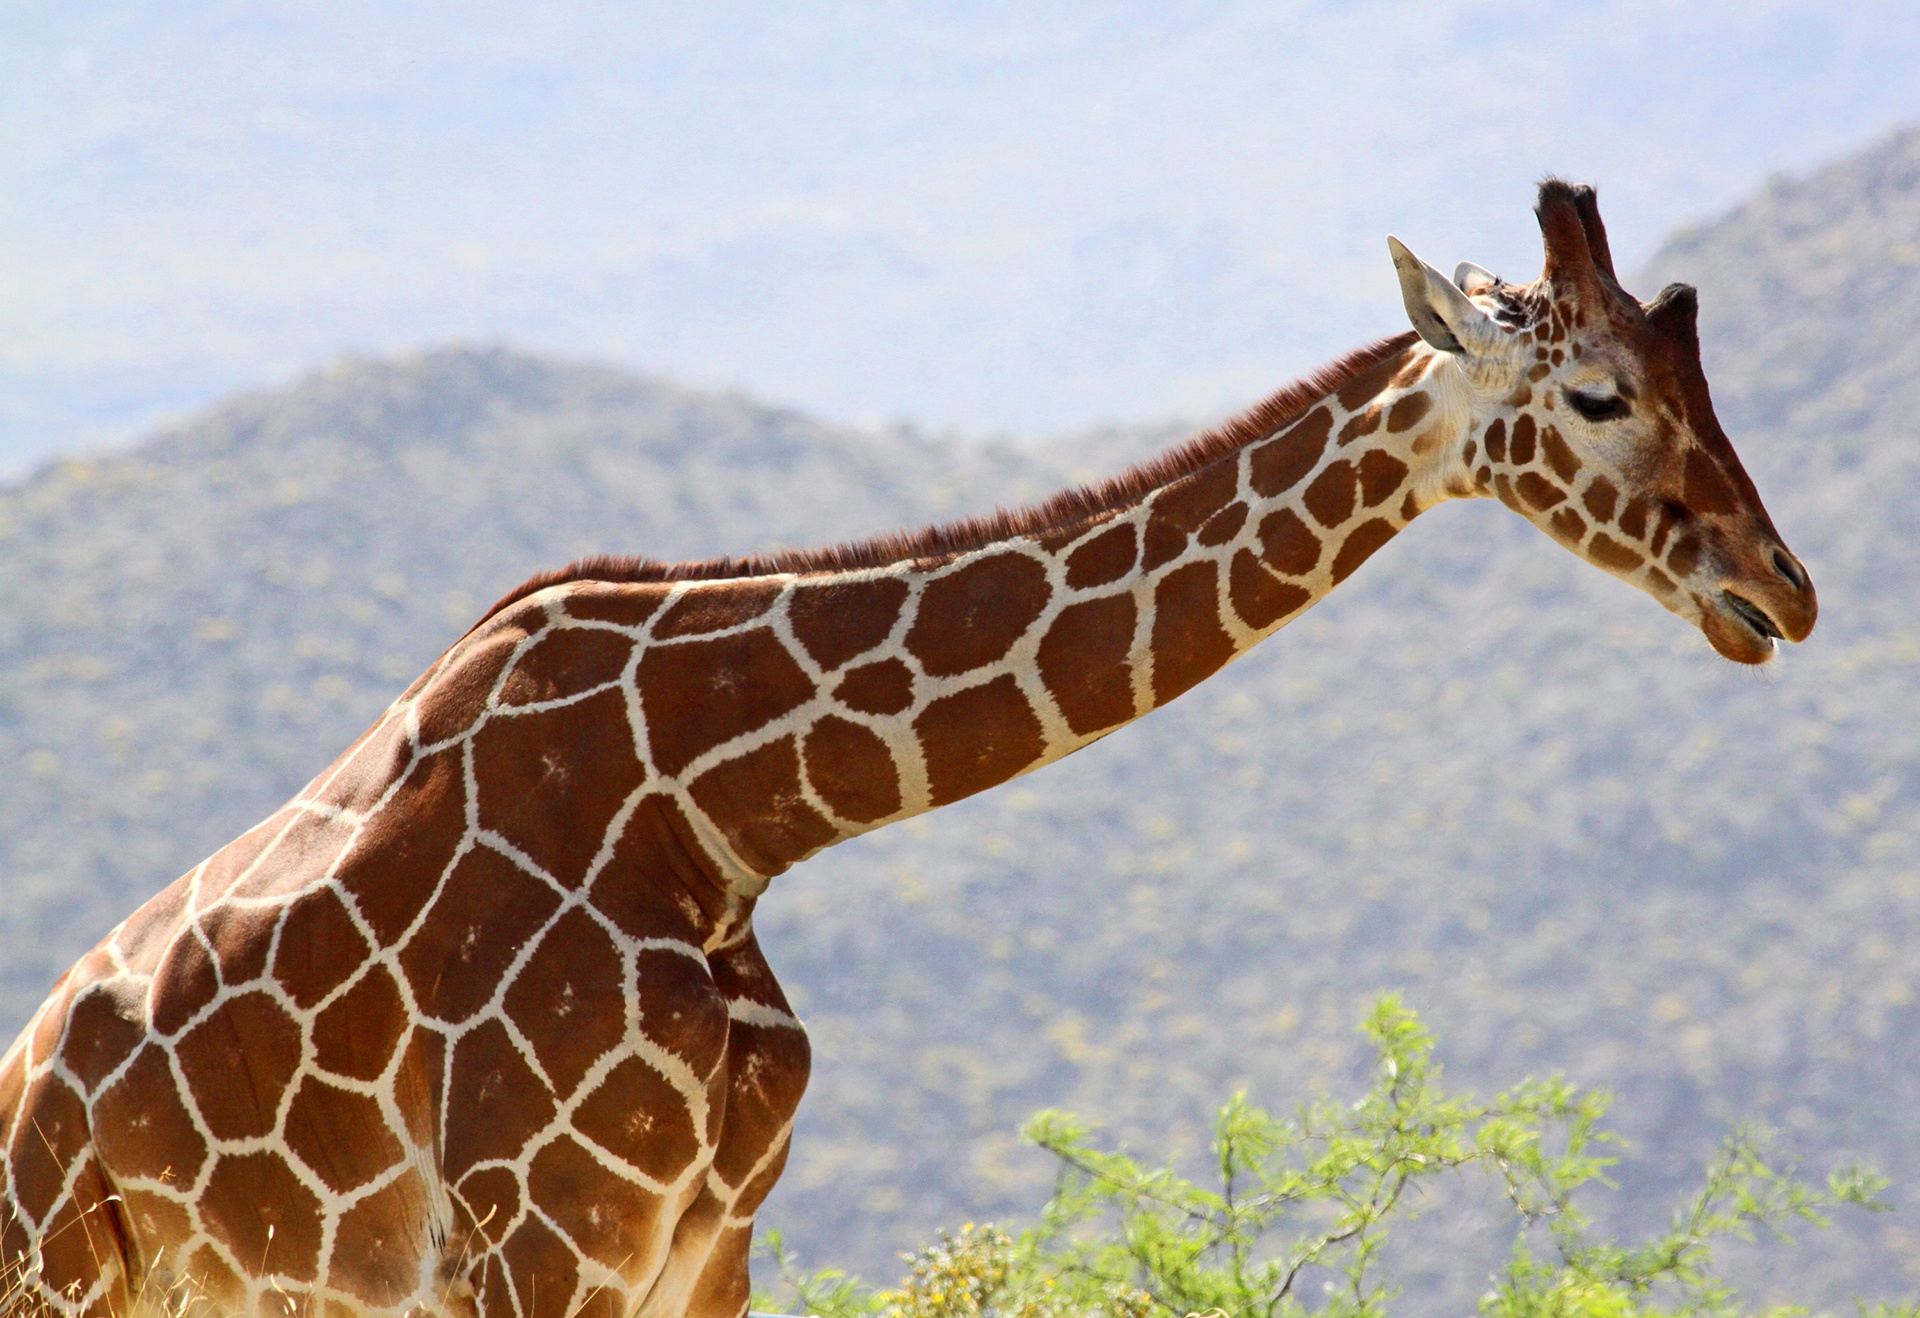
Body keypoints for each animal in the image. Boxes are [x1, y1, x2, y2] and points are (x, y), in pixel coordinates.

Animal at [0, 180, 1814, 1318]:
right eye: (1595, 395)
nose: (1781, 588)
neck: (718, 814)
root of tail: (26, 1082)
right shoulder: (543, 1241)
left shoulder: (709, 1244)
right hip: (67, 1271)